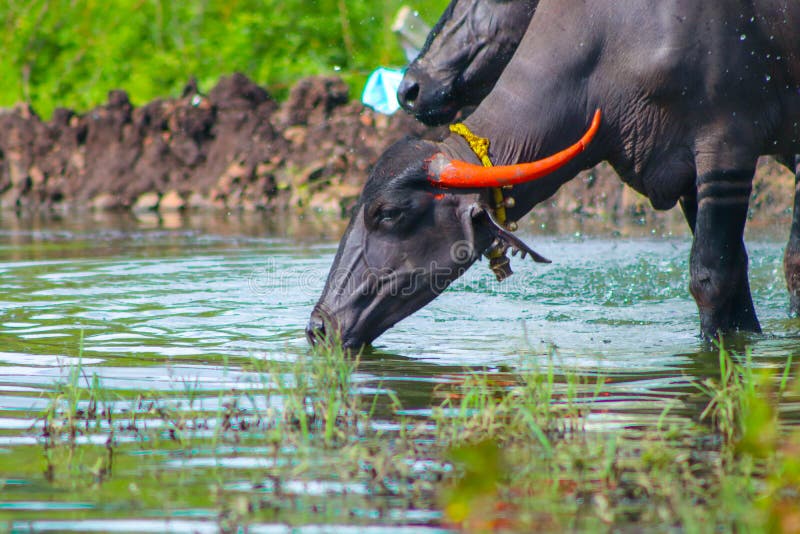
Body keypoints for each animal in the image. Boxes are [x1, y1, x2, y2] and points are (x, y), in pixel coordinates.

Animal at [309, 0, 800, 349]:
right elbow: (737, 278)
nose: (319, 326)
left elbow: (712, 277)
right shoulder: (686, 180)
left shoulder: (726, 150)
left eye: (388, 213)